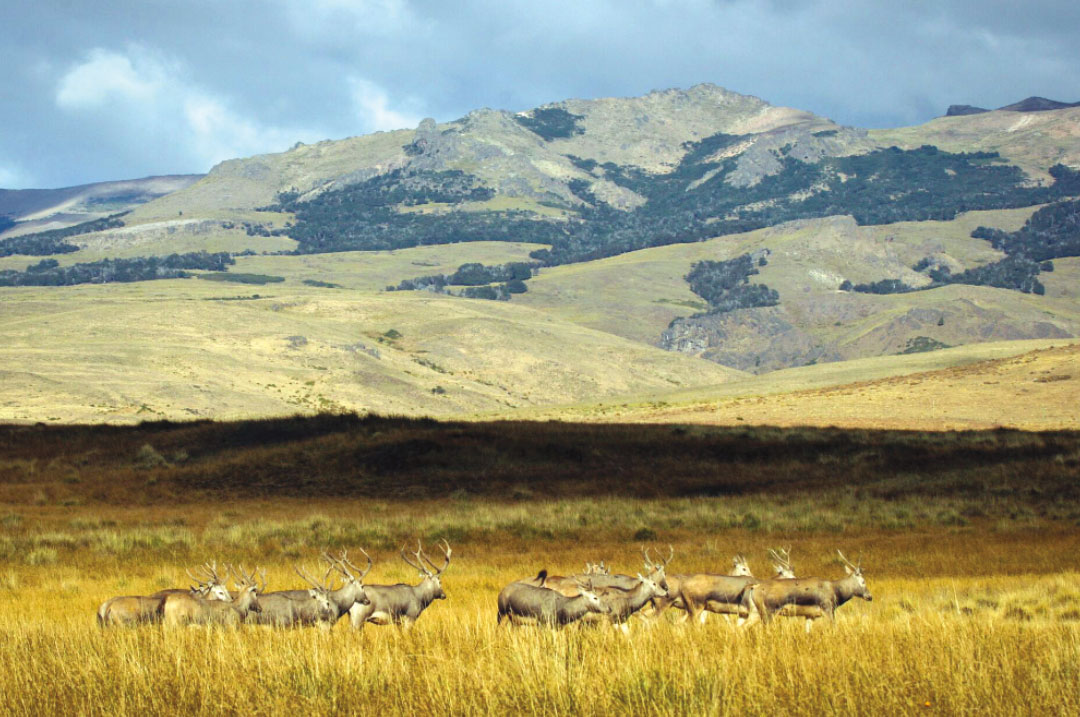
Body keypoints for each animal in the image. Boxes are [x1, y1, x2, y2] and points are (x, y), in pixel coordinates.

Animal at [743, 551, 873, 633]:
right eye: (863, 581)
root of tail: (755, 587)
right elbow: (833, 628)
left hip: (756, 613)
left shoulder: (810, 616)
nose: (869, 596)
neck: (834, 588)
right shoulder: (828, 610)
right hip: (769, 614)